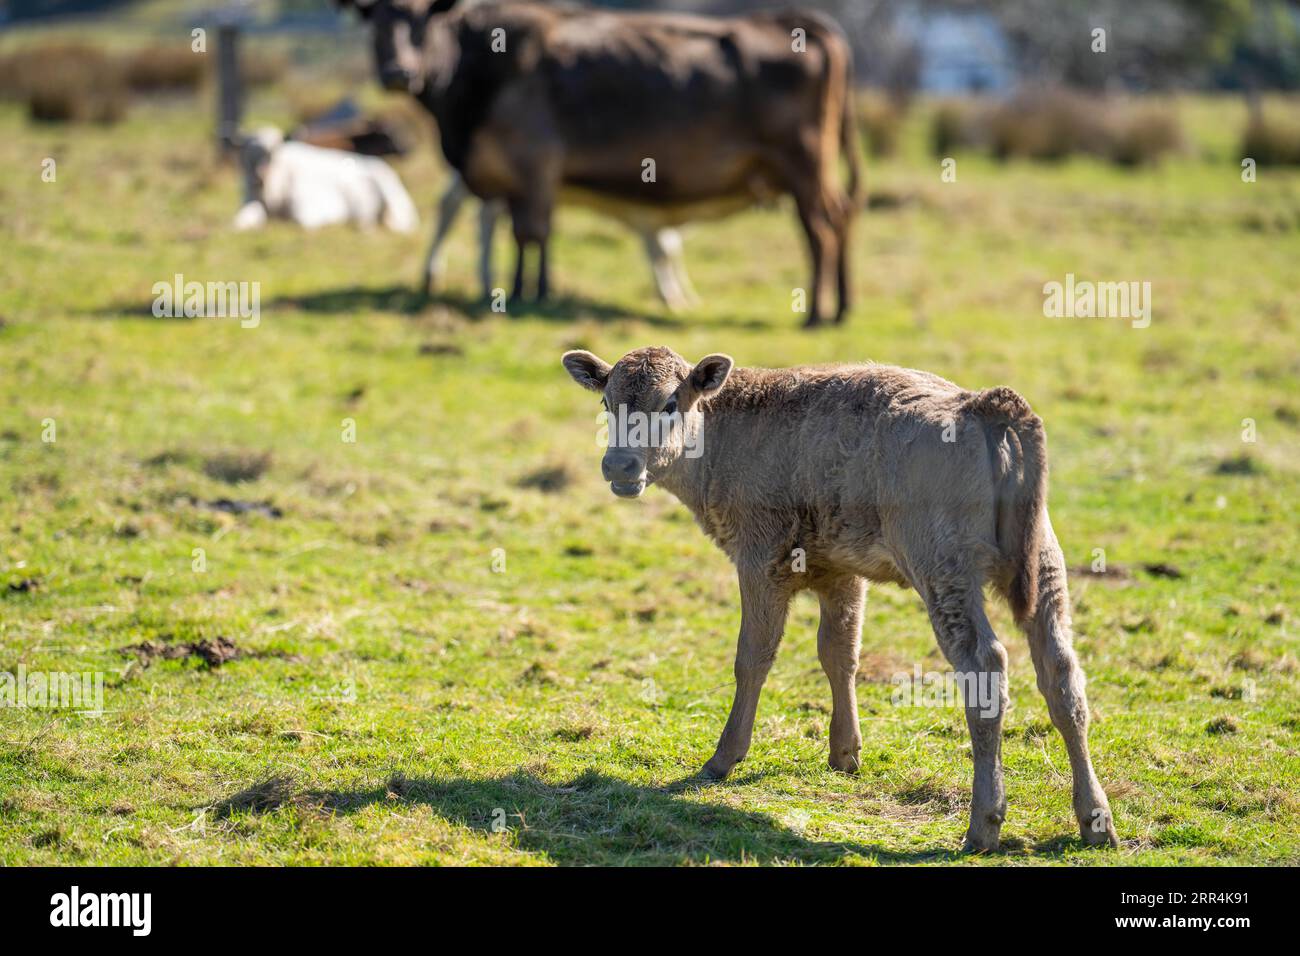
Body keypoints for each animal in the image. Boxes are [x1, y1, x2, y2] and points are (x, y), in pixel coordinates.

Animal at [233, 126, 419, 233]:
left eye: (274, 152)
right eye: (248, 151)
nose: (260, 175)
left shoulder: (310, 212)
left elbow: (297, 223)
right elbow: (239, 222)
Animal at [561, 346, 1119, 851]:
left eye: (671, 403)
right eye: (608, 402)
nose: (620, 465)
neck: (730, 429)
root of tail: (982, 404)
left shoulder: (759, 558)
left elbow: (753, 658)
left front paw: (723, 758)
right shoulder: (841, 572)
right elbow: (839, 653)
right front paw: (845, 753)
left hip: (944, 569)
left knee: (986, 667)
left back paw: (982, 826)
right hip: (1045, 567)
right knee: (1061, 673)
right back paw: (1095, 820)